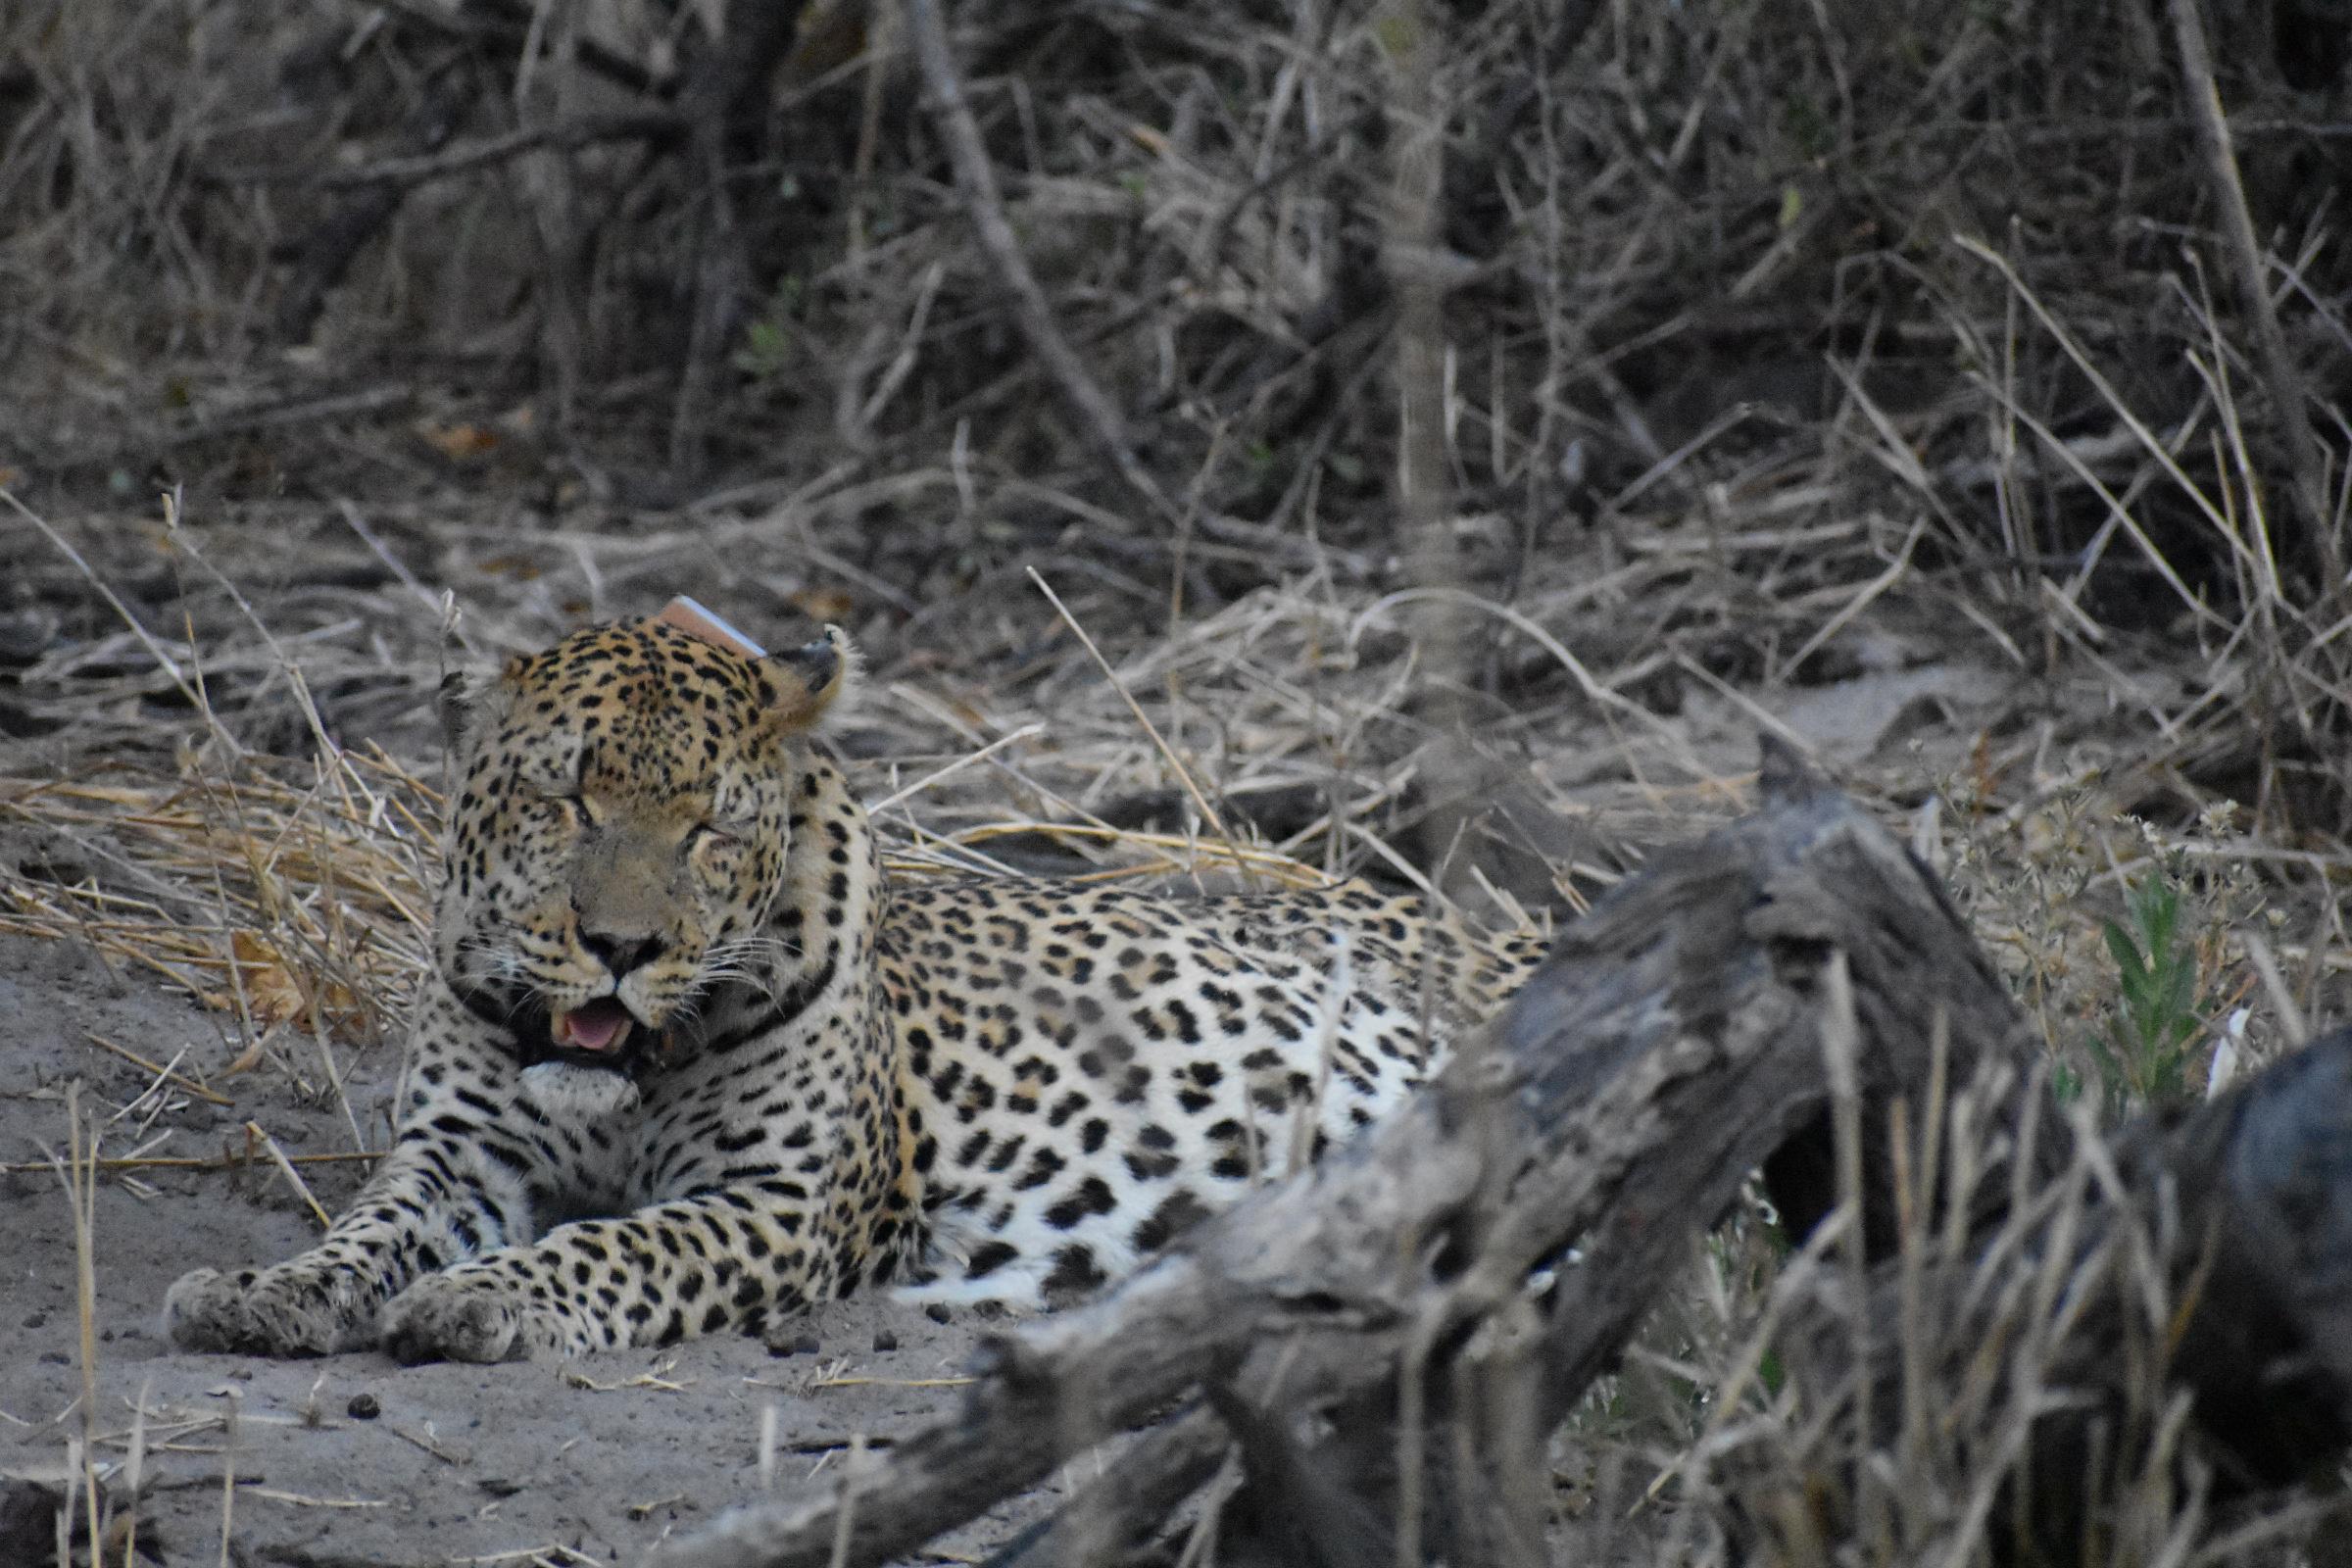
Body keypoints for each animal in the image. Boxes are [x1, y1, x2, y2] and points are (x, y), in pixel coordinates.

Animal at [165, 612, 1550, 1362]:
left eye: (711, 829)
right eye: (565, 800)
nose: (621, 946)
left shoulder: (774, 1202)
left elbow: (612, 1244)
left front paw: (484, 1298)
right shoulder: (458, 1157)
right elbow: (366, 1232)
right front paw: (261, 1293)